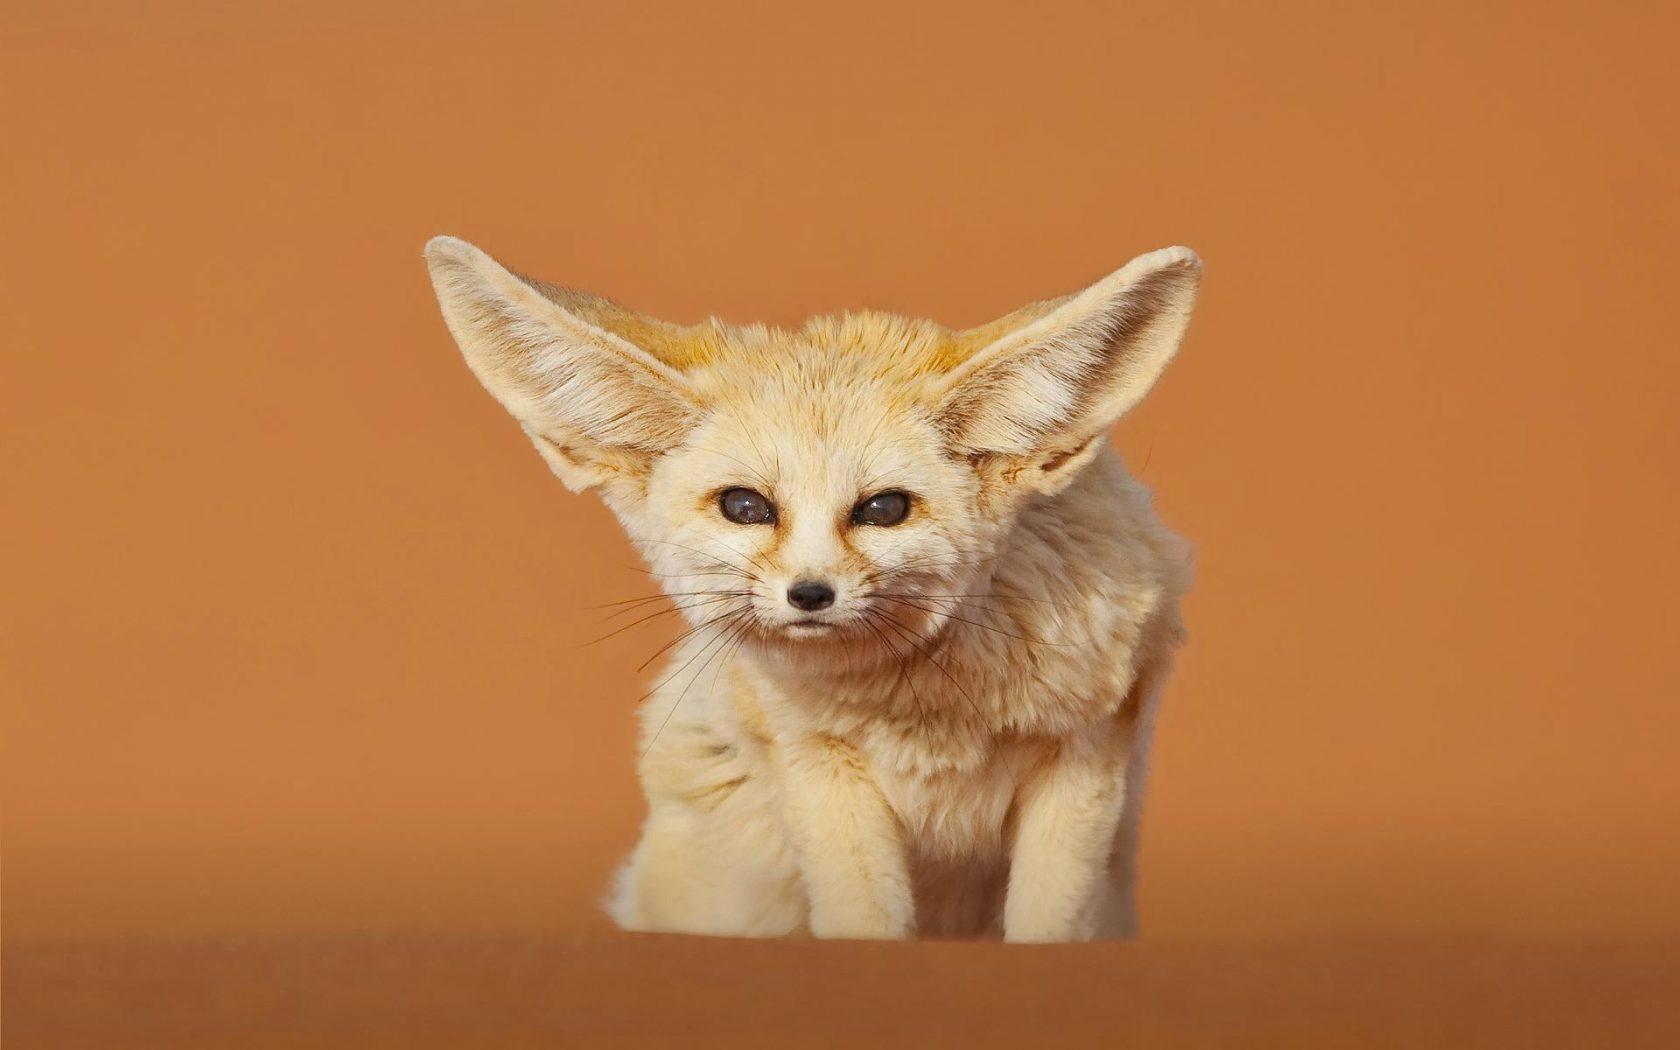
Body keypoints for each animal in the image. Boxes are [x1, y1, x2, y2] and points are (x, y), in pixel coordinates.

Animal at [424, 236, 1200, 941]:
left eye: (884, 508)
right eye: (745, 506)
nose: (810, 594)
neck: (932, 709)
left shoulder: (1088, 753)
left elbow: (1049, 924)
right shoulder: (818, 764)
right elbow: (862, 920)